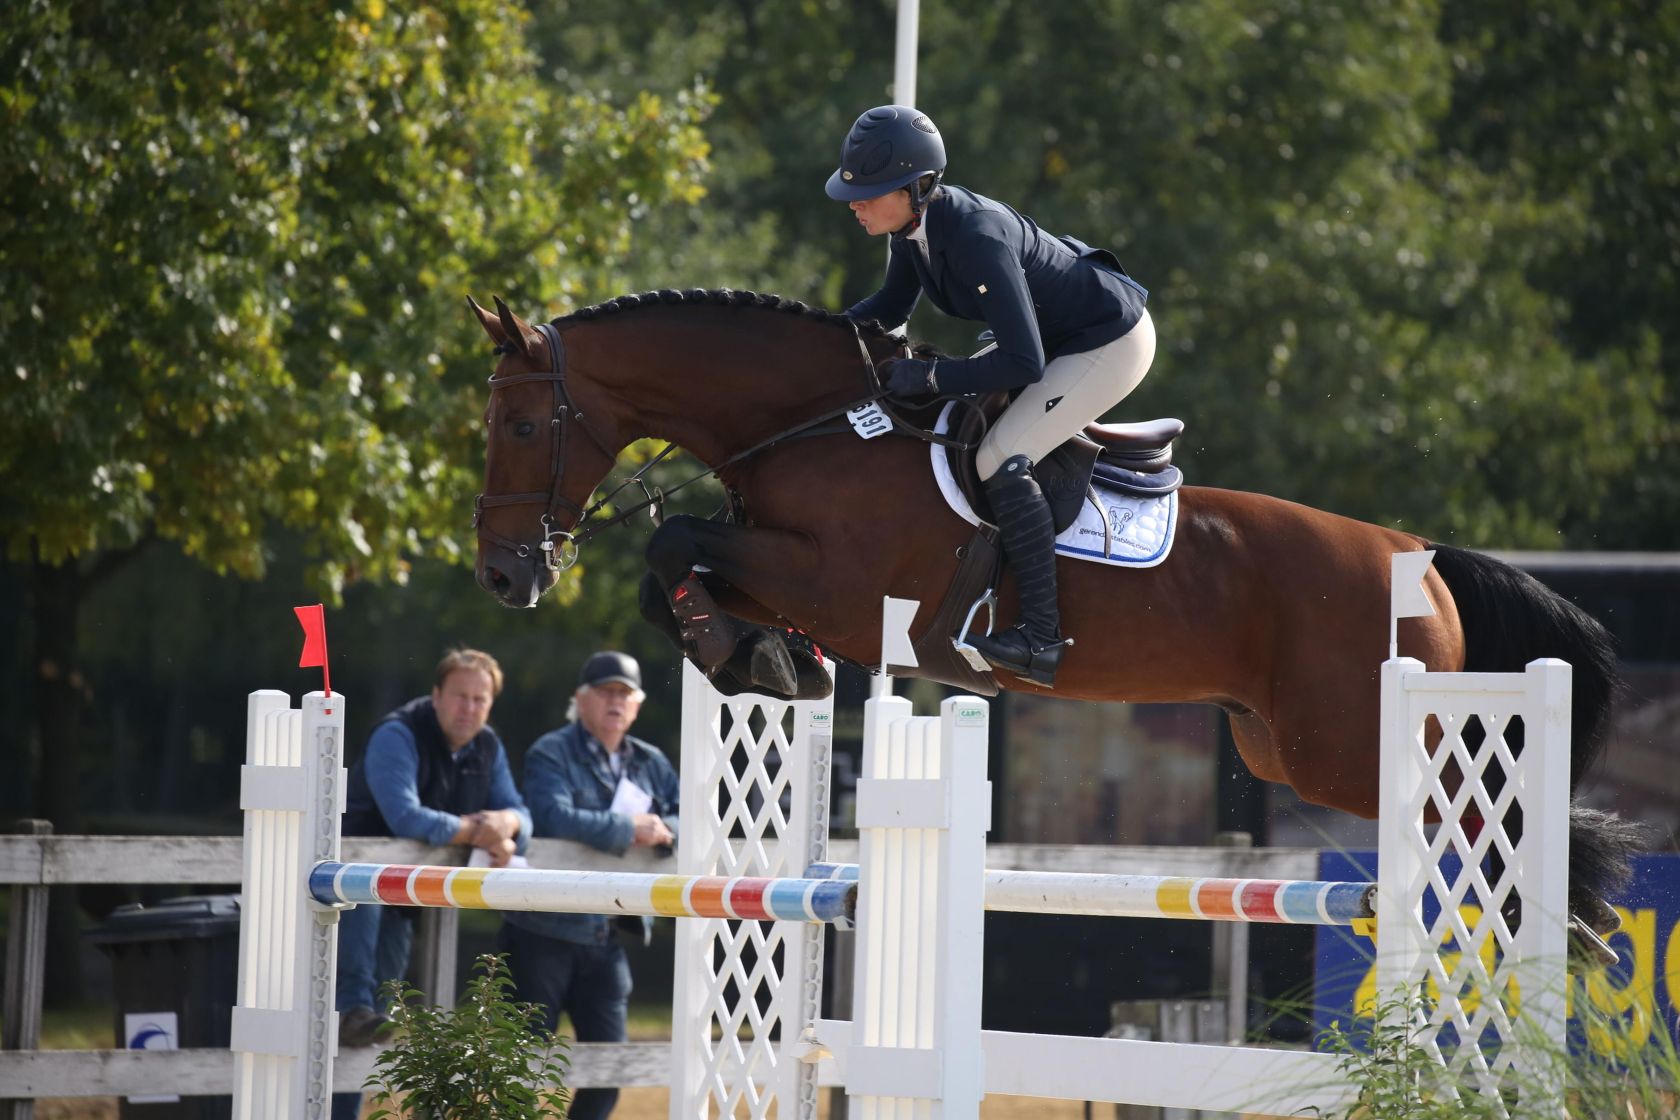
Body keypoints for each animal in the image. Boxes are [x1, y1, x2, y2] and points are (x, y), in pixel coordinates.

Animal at [466, 288, 1639, 950]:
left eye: (520, 425)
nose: (504, 577)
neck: (814, 424)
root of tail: (1423, 559)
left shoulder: (840, 586)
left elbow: (675, 543)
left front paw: (746, 654)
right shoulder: (788, 576)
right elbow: (681, 564)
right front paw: (762, 660)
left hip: (1361, 746)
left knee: (1504, 828)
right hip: (1287, 747)